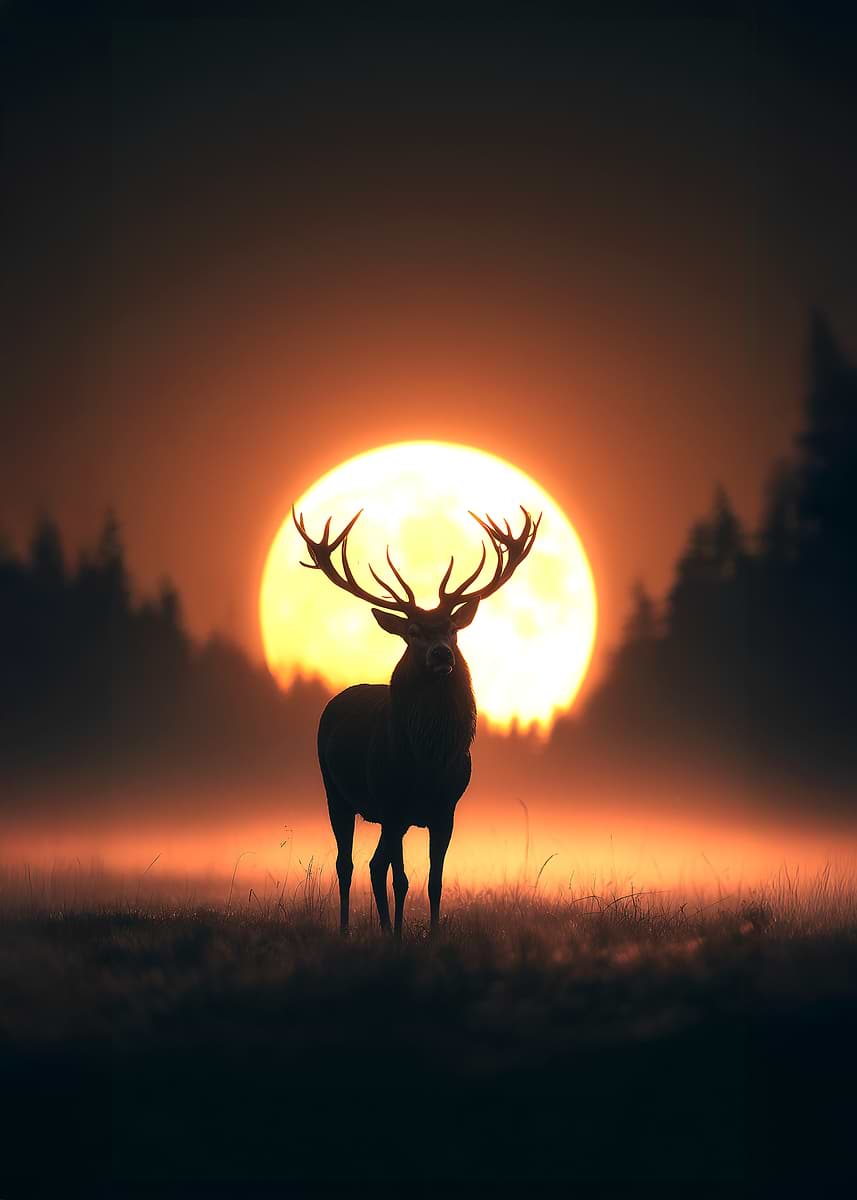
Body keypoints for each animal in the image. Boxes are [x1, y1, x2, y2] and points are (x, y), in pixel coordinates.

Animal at [293, 504, 540, 936]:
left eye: (452, 628)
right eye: (412, 631)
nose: (442, 654)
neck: (427, 762)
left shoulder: (444, 810)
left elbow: (434, 880)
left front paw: (429, 935)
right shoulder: (392, 803)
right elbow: (402, 879)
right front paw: (396, 937)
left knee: (374, 865)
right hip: (336, 792)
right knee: (348, 864)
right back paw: (346, 930)